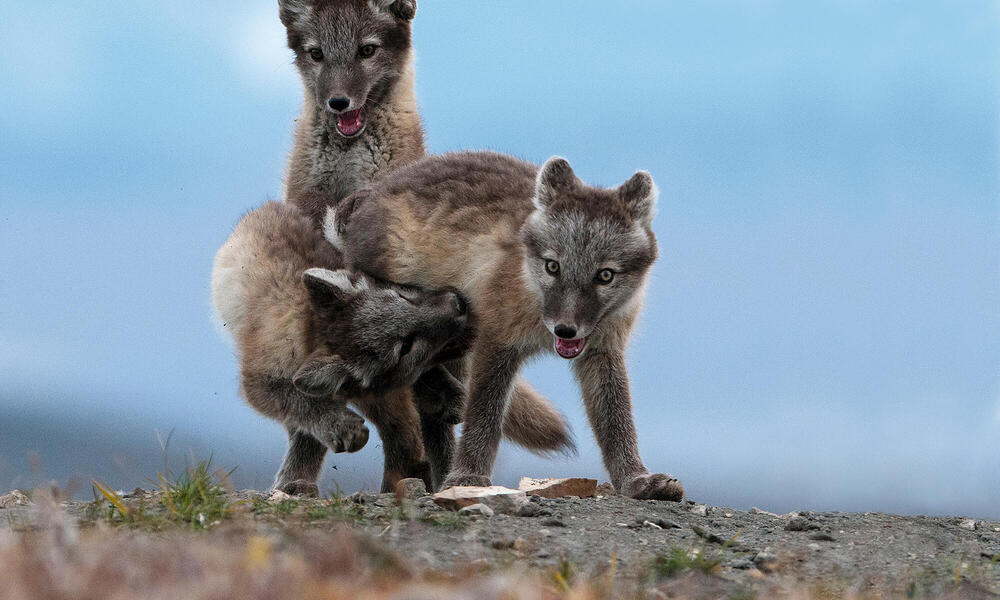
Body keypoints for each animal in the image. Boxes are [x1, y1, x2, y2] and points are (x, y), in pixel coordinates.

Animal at [212, 201, 472, 494]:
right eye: (404, 347)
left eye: (403, 296)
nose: (458, 304)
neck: (310, 324)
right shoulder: (261, 383)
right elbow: (301, 401)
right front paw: (342, 426)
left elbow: (426, 374)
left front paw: (451, 394)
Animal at [326, 152, 685, 501]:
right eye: (552, 266)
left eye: (605, 275)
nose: (565, 330)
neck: (530, 289)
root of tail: (368, 195)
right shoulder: (497, 341)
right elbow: (485, 412)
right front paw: (468, 477)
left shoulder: (604, 349)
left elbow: (616, 420)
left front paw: (635, 481)